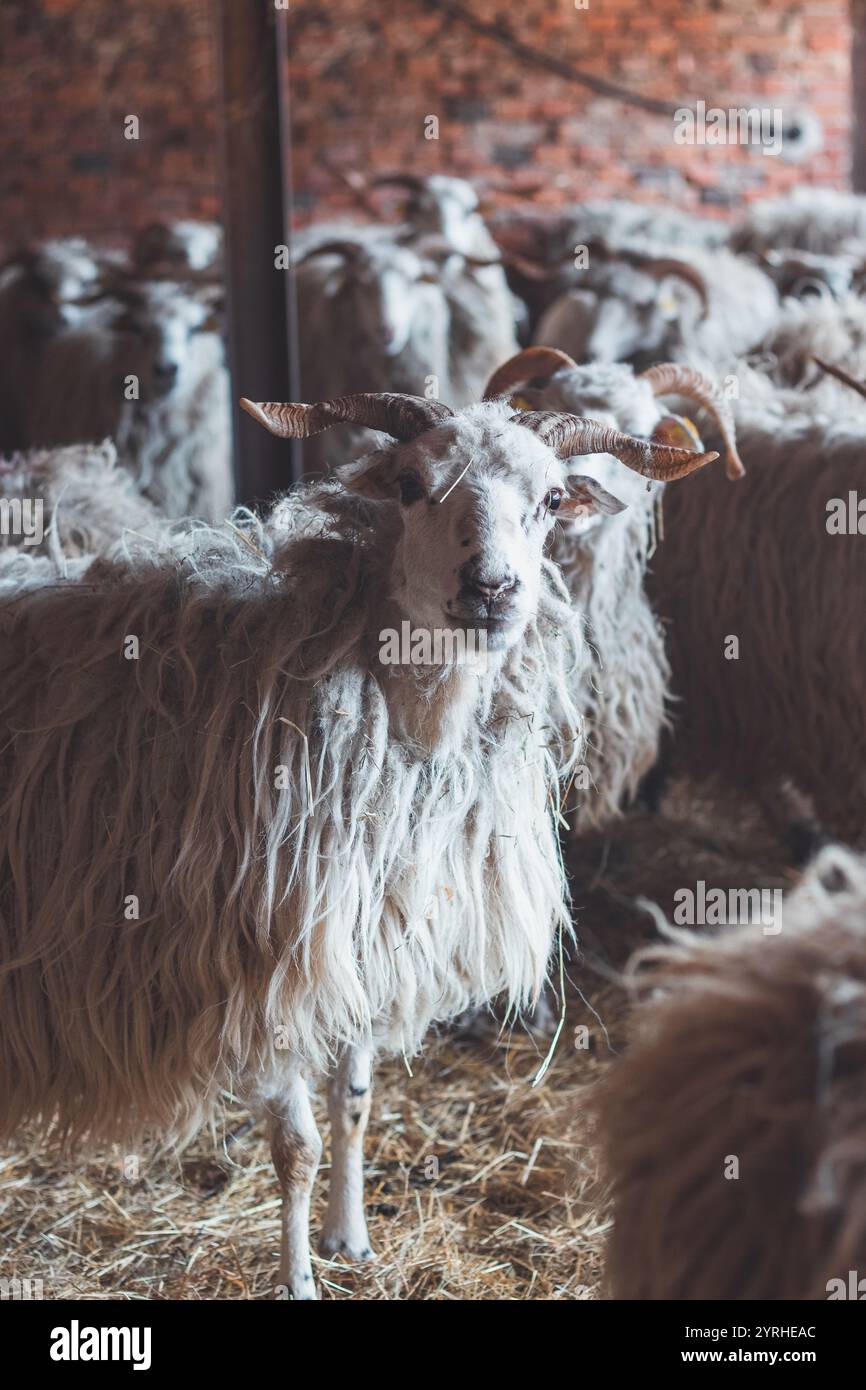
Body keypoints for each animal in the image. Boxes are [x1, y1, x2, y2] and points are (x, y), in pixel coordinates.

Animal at [0, 386, 714, 1299]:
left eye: (554, 499)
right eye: (409, 484)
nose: (493, 587)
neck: (415, 724)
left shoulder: (373, 941)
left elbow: (357, 1102)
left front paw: (352, 1240)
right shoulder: (269, 970)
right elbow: (296, 1146)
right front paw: (301, 1279)